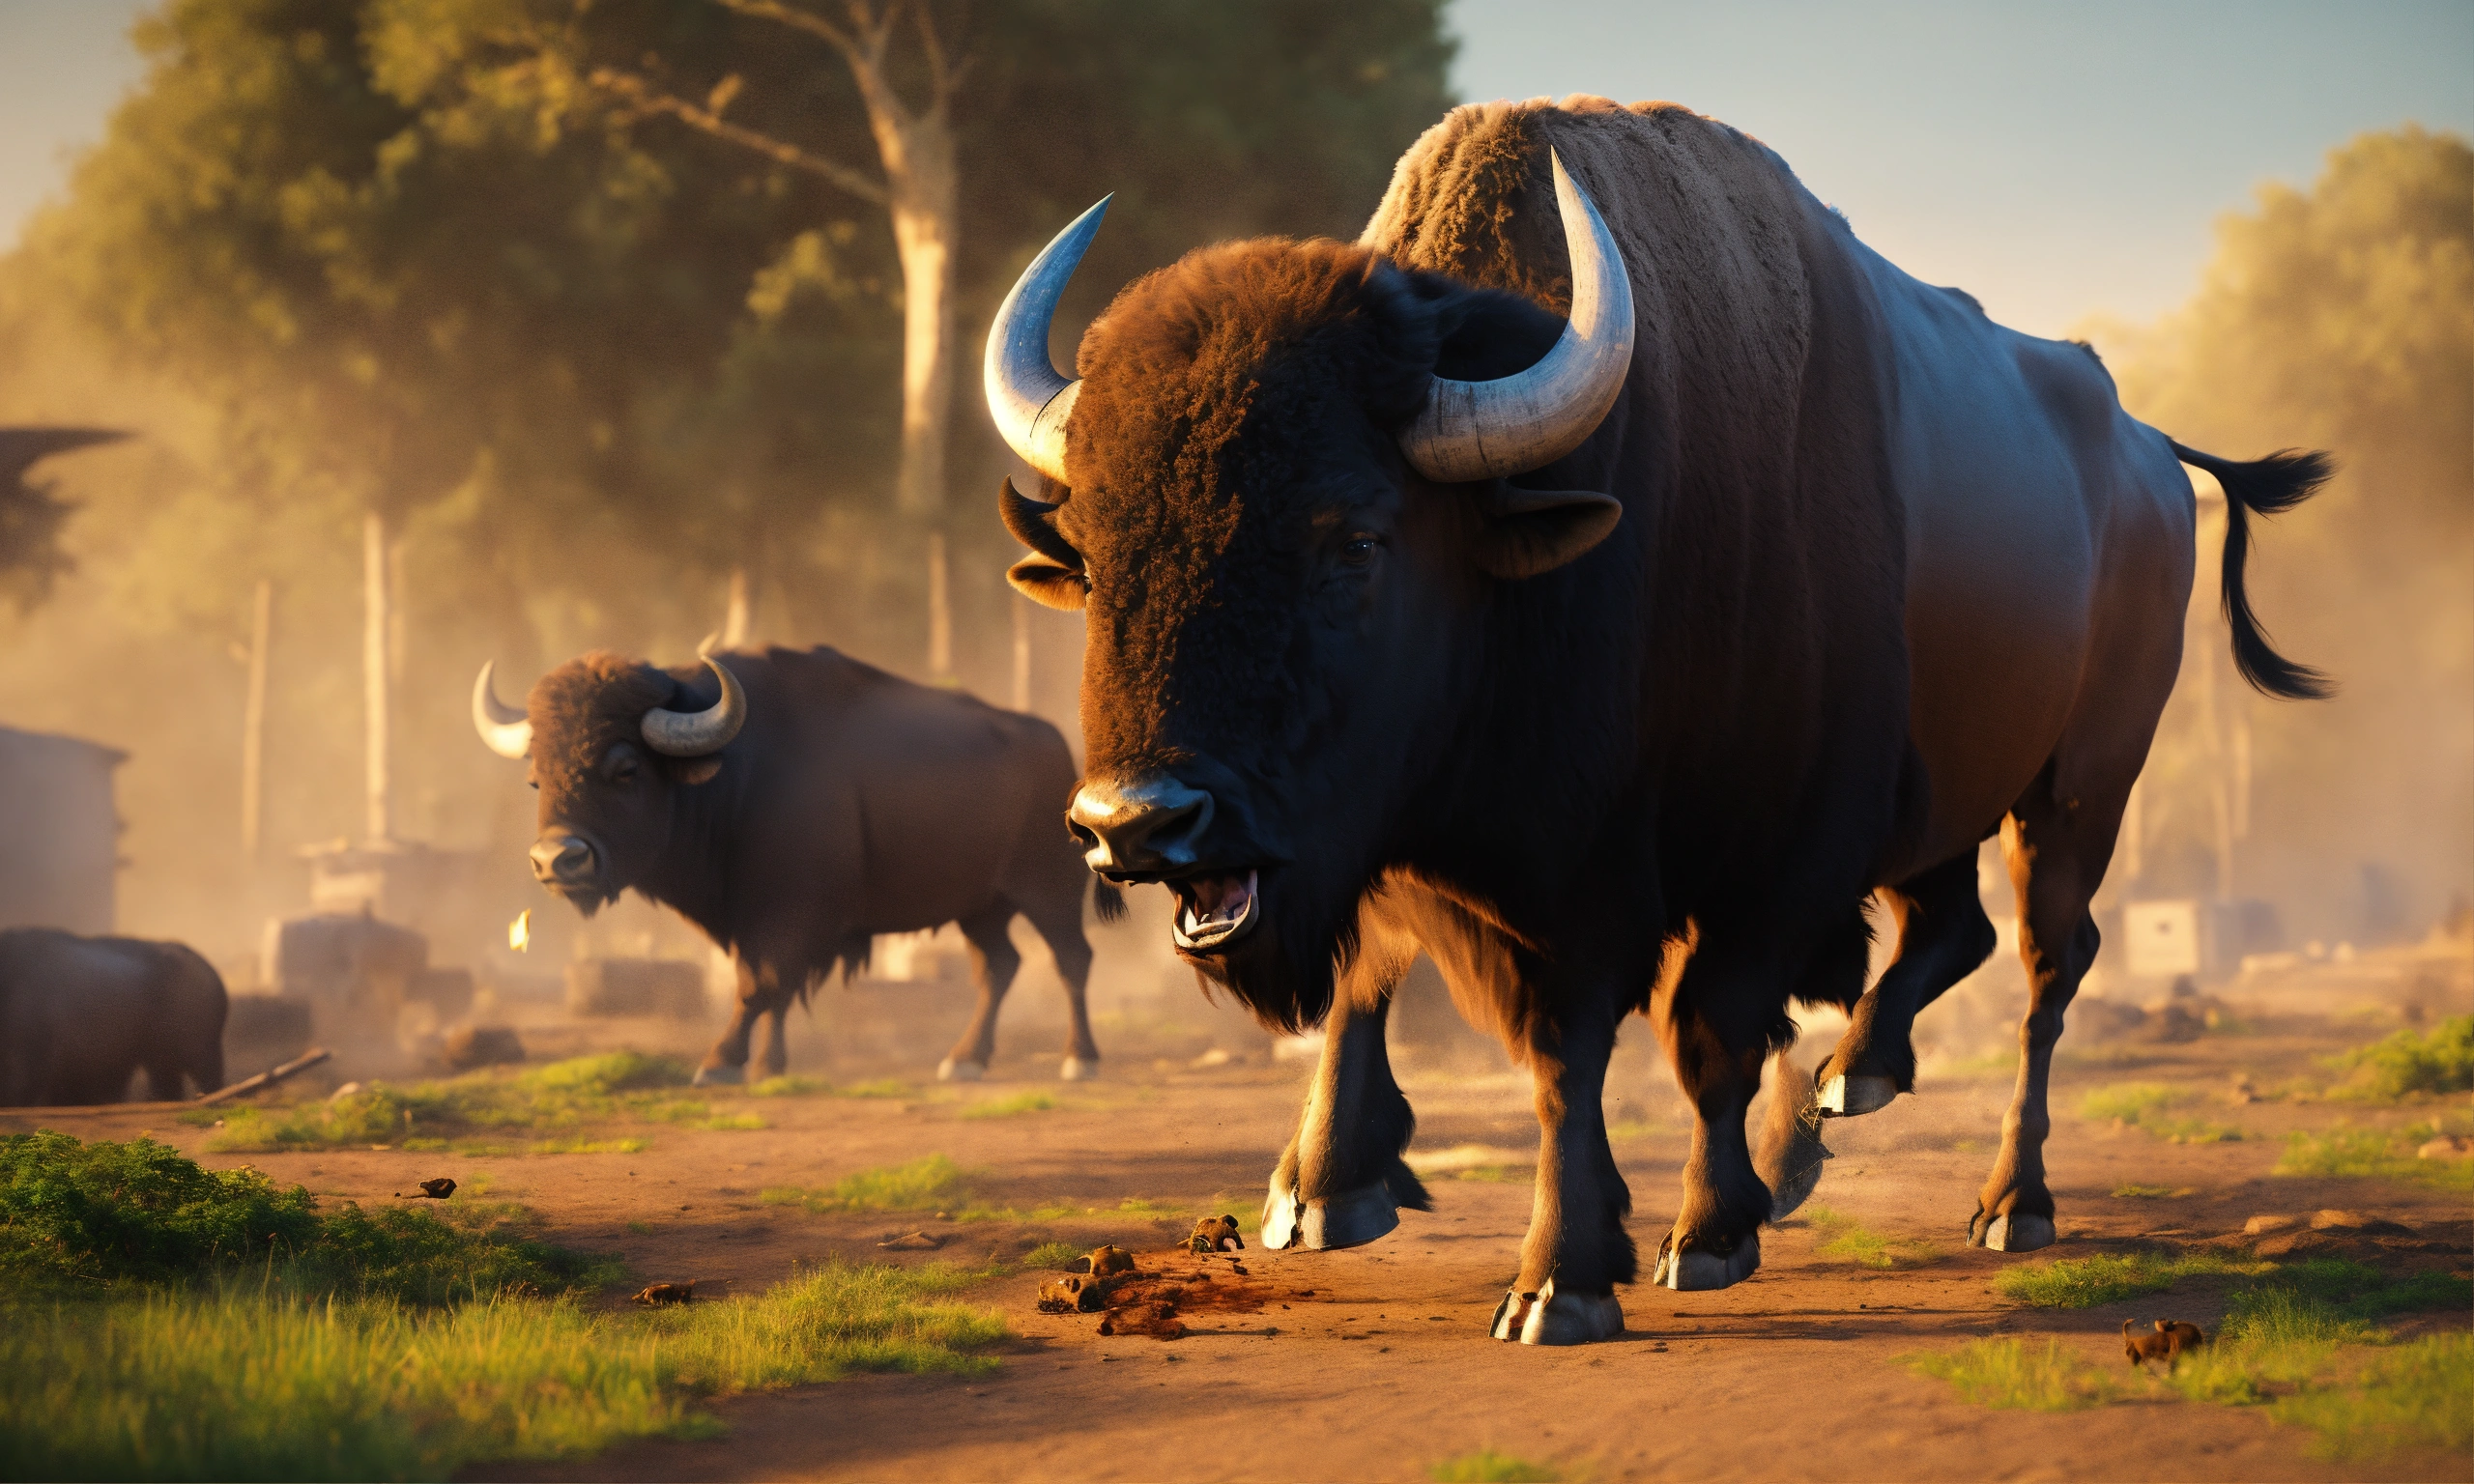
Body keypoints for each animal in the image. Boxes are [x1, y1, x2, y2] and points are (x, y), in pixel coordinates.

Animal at [474, 645, 1120, 1084]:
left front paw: (720, 1063)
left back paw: (1080, 1059)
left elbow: (757, 987)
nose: (557, 860)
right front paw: (769, 1065)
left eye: (625, 769)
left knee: (1071, 960)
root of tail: (1061, 752)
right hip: (980, 908)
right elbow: (775, 989)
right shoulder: (756, 920)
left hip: (1048, 894)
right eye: (536, 777)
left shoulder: (790, 914)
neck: (733, 774)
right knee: (999, 968)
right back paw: (965, 1060)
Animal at [983, 97, 2327, 1342]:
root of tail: (2149, 449)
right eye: (1091, 556)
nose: (1137, 823)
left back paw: (2005, 1201)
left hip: (2076, 791)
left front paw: (1649, 1251)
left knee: (2048, 964)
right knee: (1951, 934)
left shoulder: (1755, 858)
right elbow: (1461, 1011)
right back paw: (1837, 1099)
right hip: (1944, 805)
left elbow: (1685, 1034)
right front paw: (1333, 1195)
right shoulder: (1449, 847)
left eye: (1352, 540)